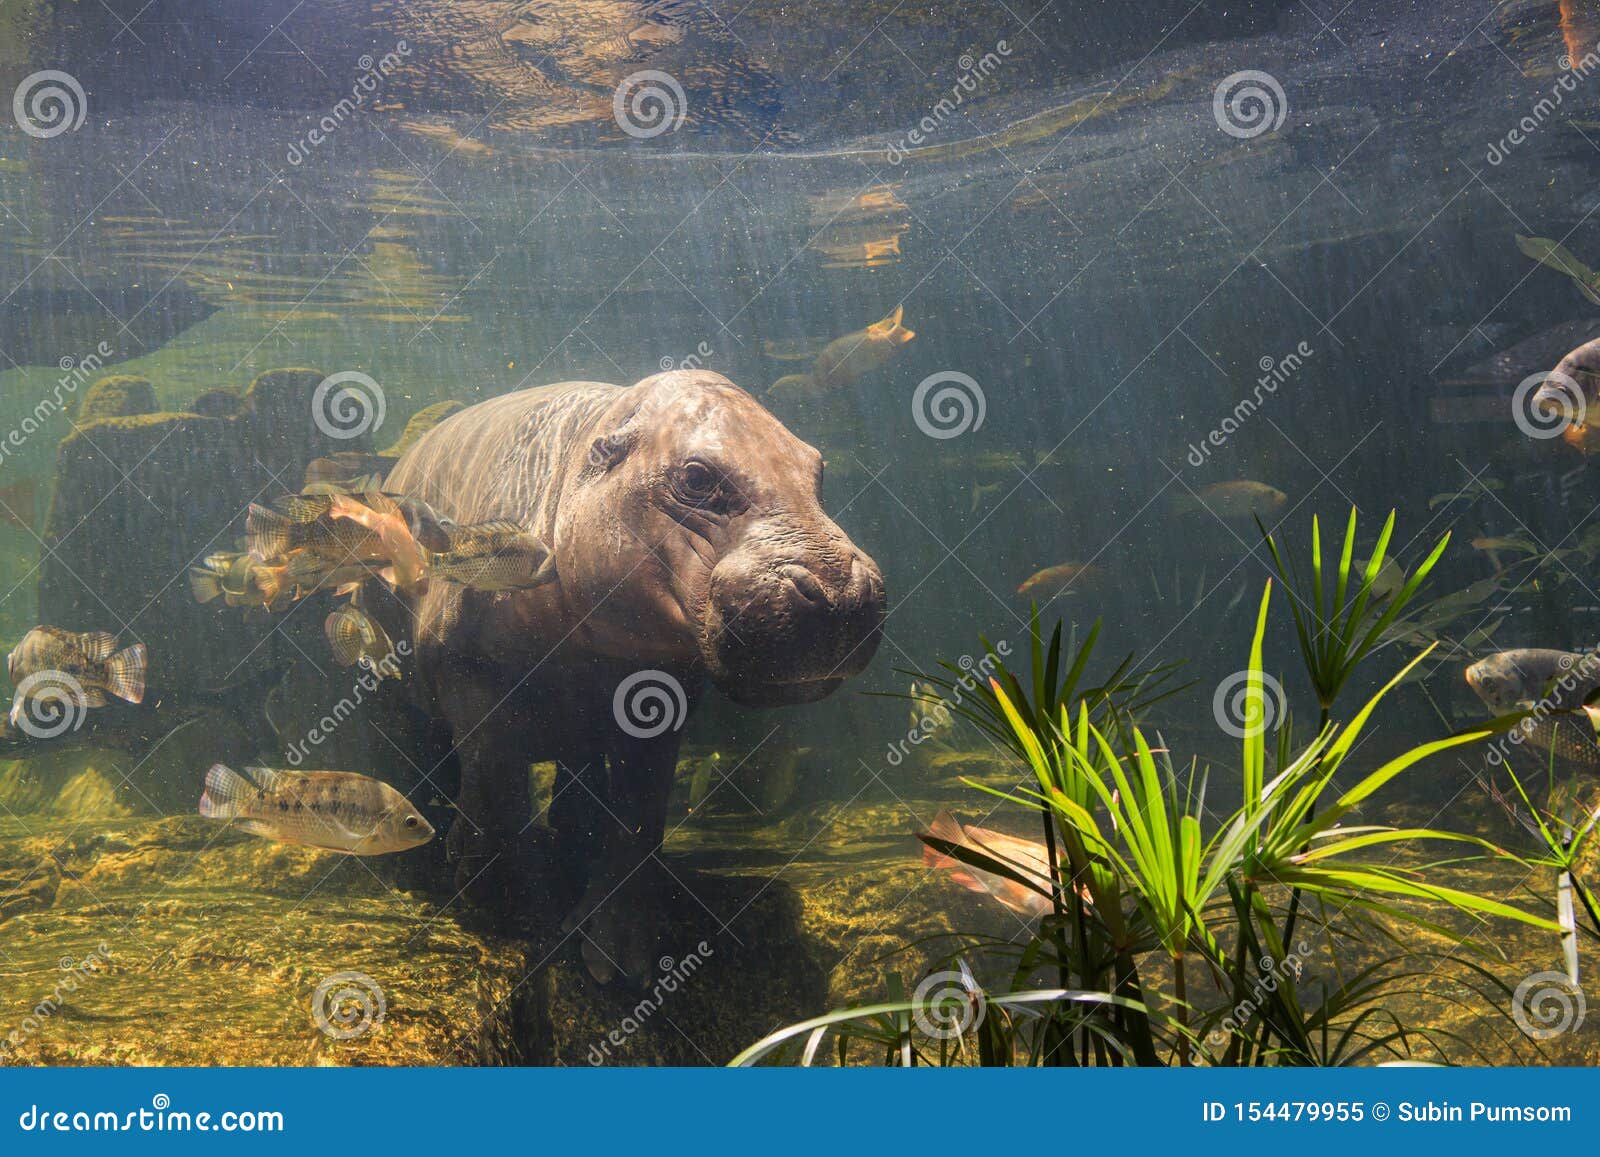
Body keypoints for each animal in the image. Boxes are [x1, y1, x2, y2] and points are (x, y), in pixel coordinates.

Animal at [383, 370, 886, 981]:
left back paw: (572, 829)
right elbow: (492, 778)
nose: (840, 593)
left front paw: (616, 962)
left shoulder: (662, 693)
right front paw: (493, 903)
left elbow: (640, 813)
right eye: (695, 477)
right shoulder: (466, 666)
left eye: (817, 467)